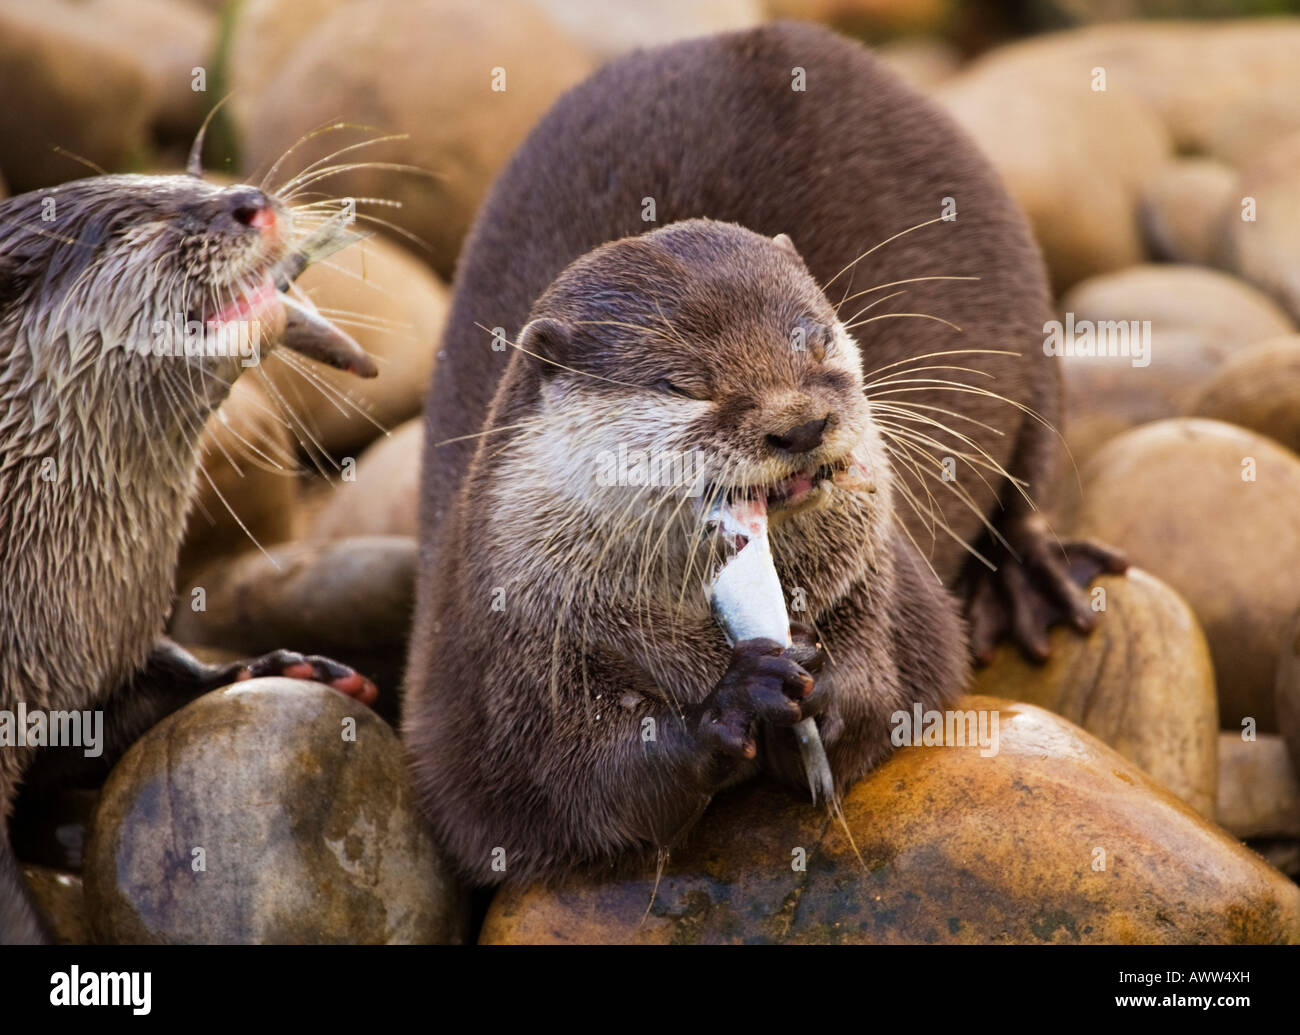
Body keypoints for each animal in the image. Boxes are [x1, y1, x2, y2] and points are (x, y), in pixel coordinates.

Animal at [404, 22, 1124, 885]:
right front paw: (734, 699)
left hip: (1032, 321)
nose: (800, 423)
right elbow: (565, 789)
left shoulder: (883, 584)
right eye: (683, 383)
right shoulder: (495, 659)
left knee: (1032, 473)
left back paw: (1029, 580)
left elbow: (908, 680)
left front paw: (832, 694)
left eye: (815, 340)